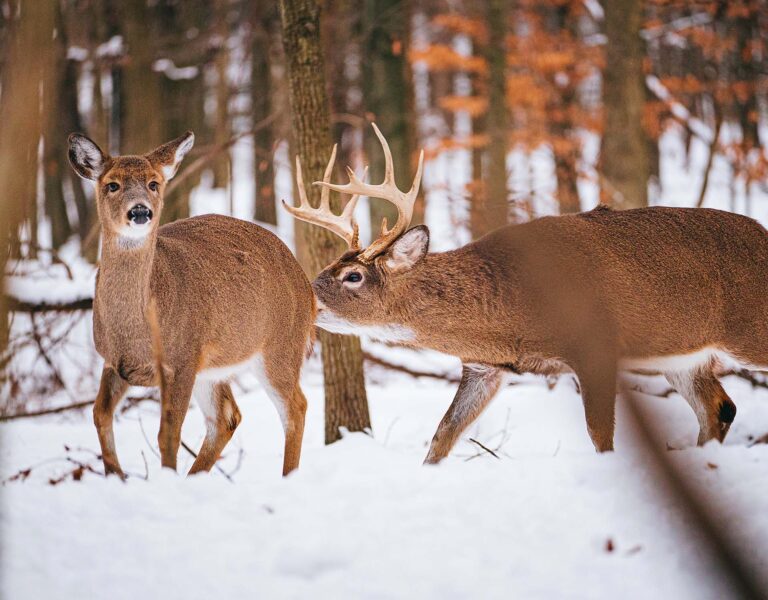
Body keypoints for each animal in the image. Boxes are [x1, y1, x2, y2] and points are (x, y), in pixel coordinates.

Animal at [68, 131, 315, 478]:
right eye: (112, 184)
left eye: (154, 183)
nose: (140, 211)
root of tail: (305, 283)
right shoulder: (113, 360)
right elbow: (99, 414)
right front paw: (116, 475)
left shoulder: (182, 359)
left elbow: (168, 434)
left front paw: (165, 480)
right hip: (214, 365)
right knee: (228, 416)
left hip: (280, 346)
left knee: (295, 407)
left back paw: (287, 477)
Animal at [284, 123, 768, 463]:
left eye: (352, 276)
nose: (305, 295)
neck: (511, 310)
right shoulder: (484, 366)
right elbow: (442, 437)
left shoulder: (595, 347)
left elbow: (601, 439)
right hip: (682, 357)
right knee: (720, 408)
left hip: (749, 332)